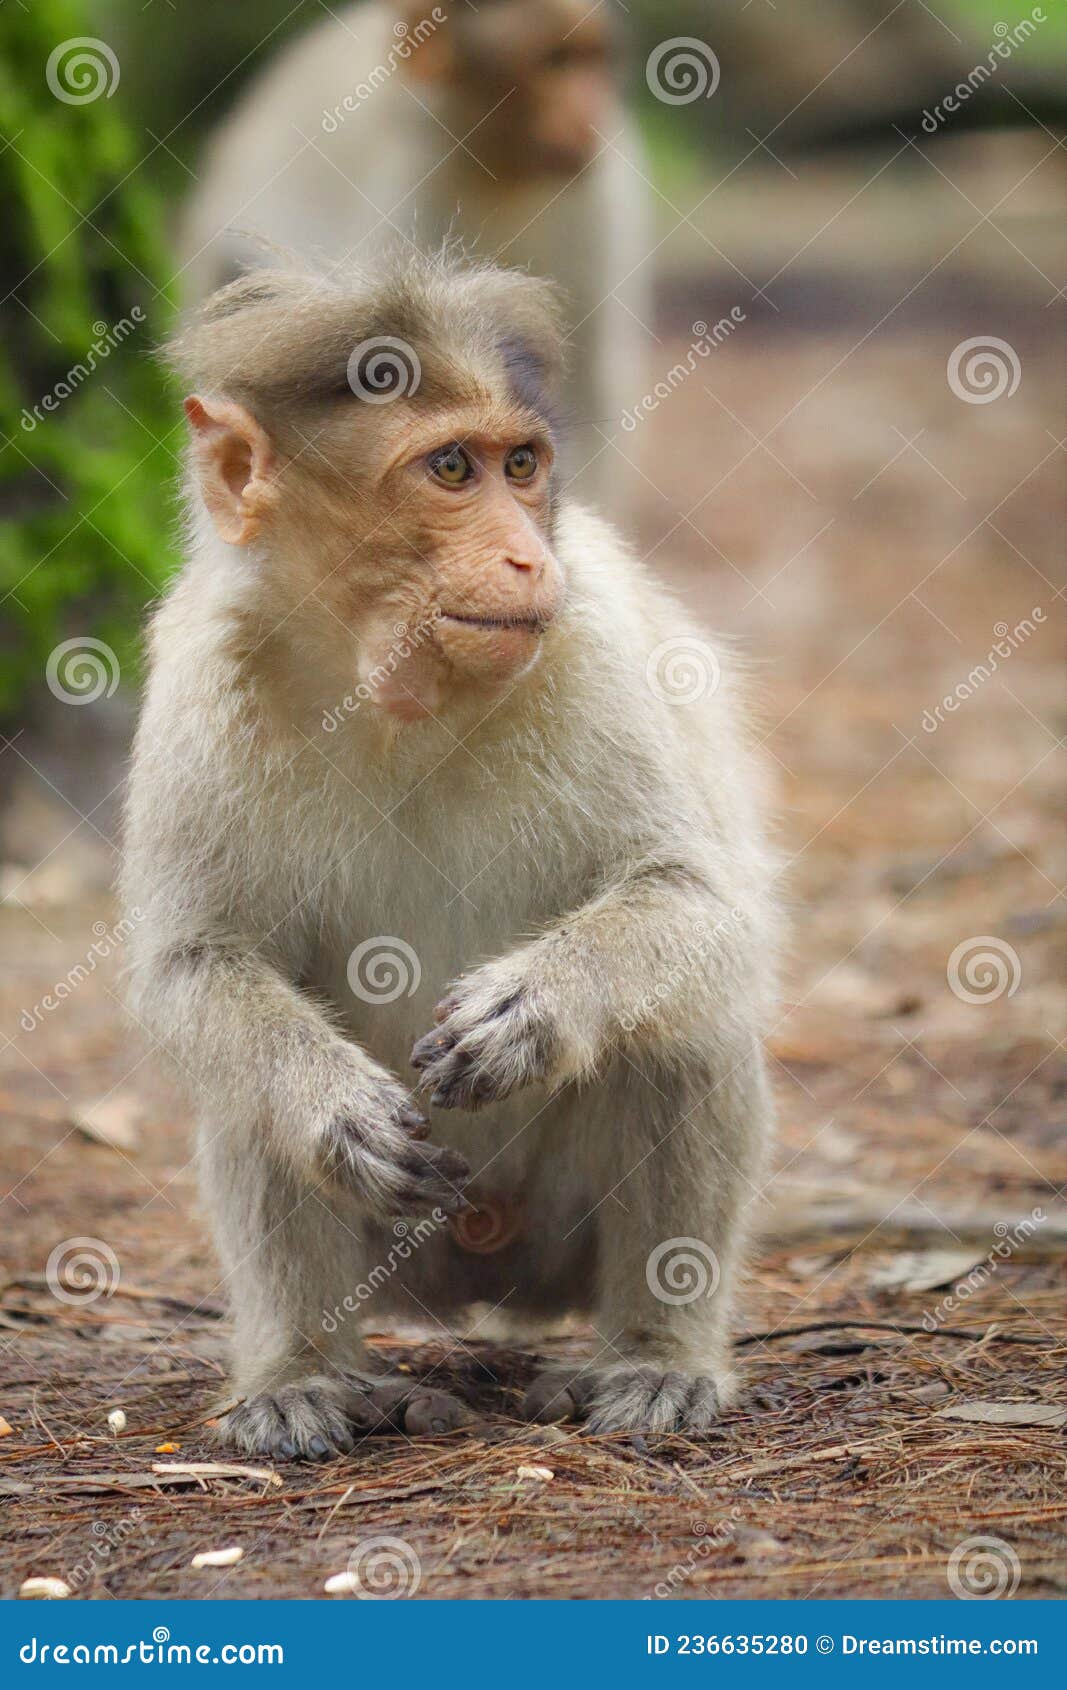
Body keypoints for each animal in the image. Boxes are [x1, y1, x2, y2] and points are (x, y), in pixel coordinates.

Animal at [120, 250, 779, 1458]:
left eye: (519, 465)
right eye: (447, 469)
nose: (524, 554)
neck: (391, 694)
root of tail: (490, 1269)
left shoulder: (592, 639)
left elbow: (699, 902)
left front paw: (536, 1009)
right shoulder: (197, 681)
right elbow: (197, 963)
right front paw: (331, 1110)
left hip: (562, 1234)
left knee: (682, 1030)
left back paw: (655, 1359)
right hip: (407, 1251)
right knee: (244, 1093)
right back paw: (308, 1375)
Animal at [177, 0, 651, 510]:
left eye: (593, 58)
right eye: (556, 62)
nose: (594, 113)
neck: (495, 170)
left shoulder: (601, 200)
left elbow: (589, 382)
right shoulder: (414, 182)